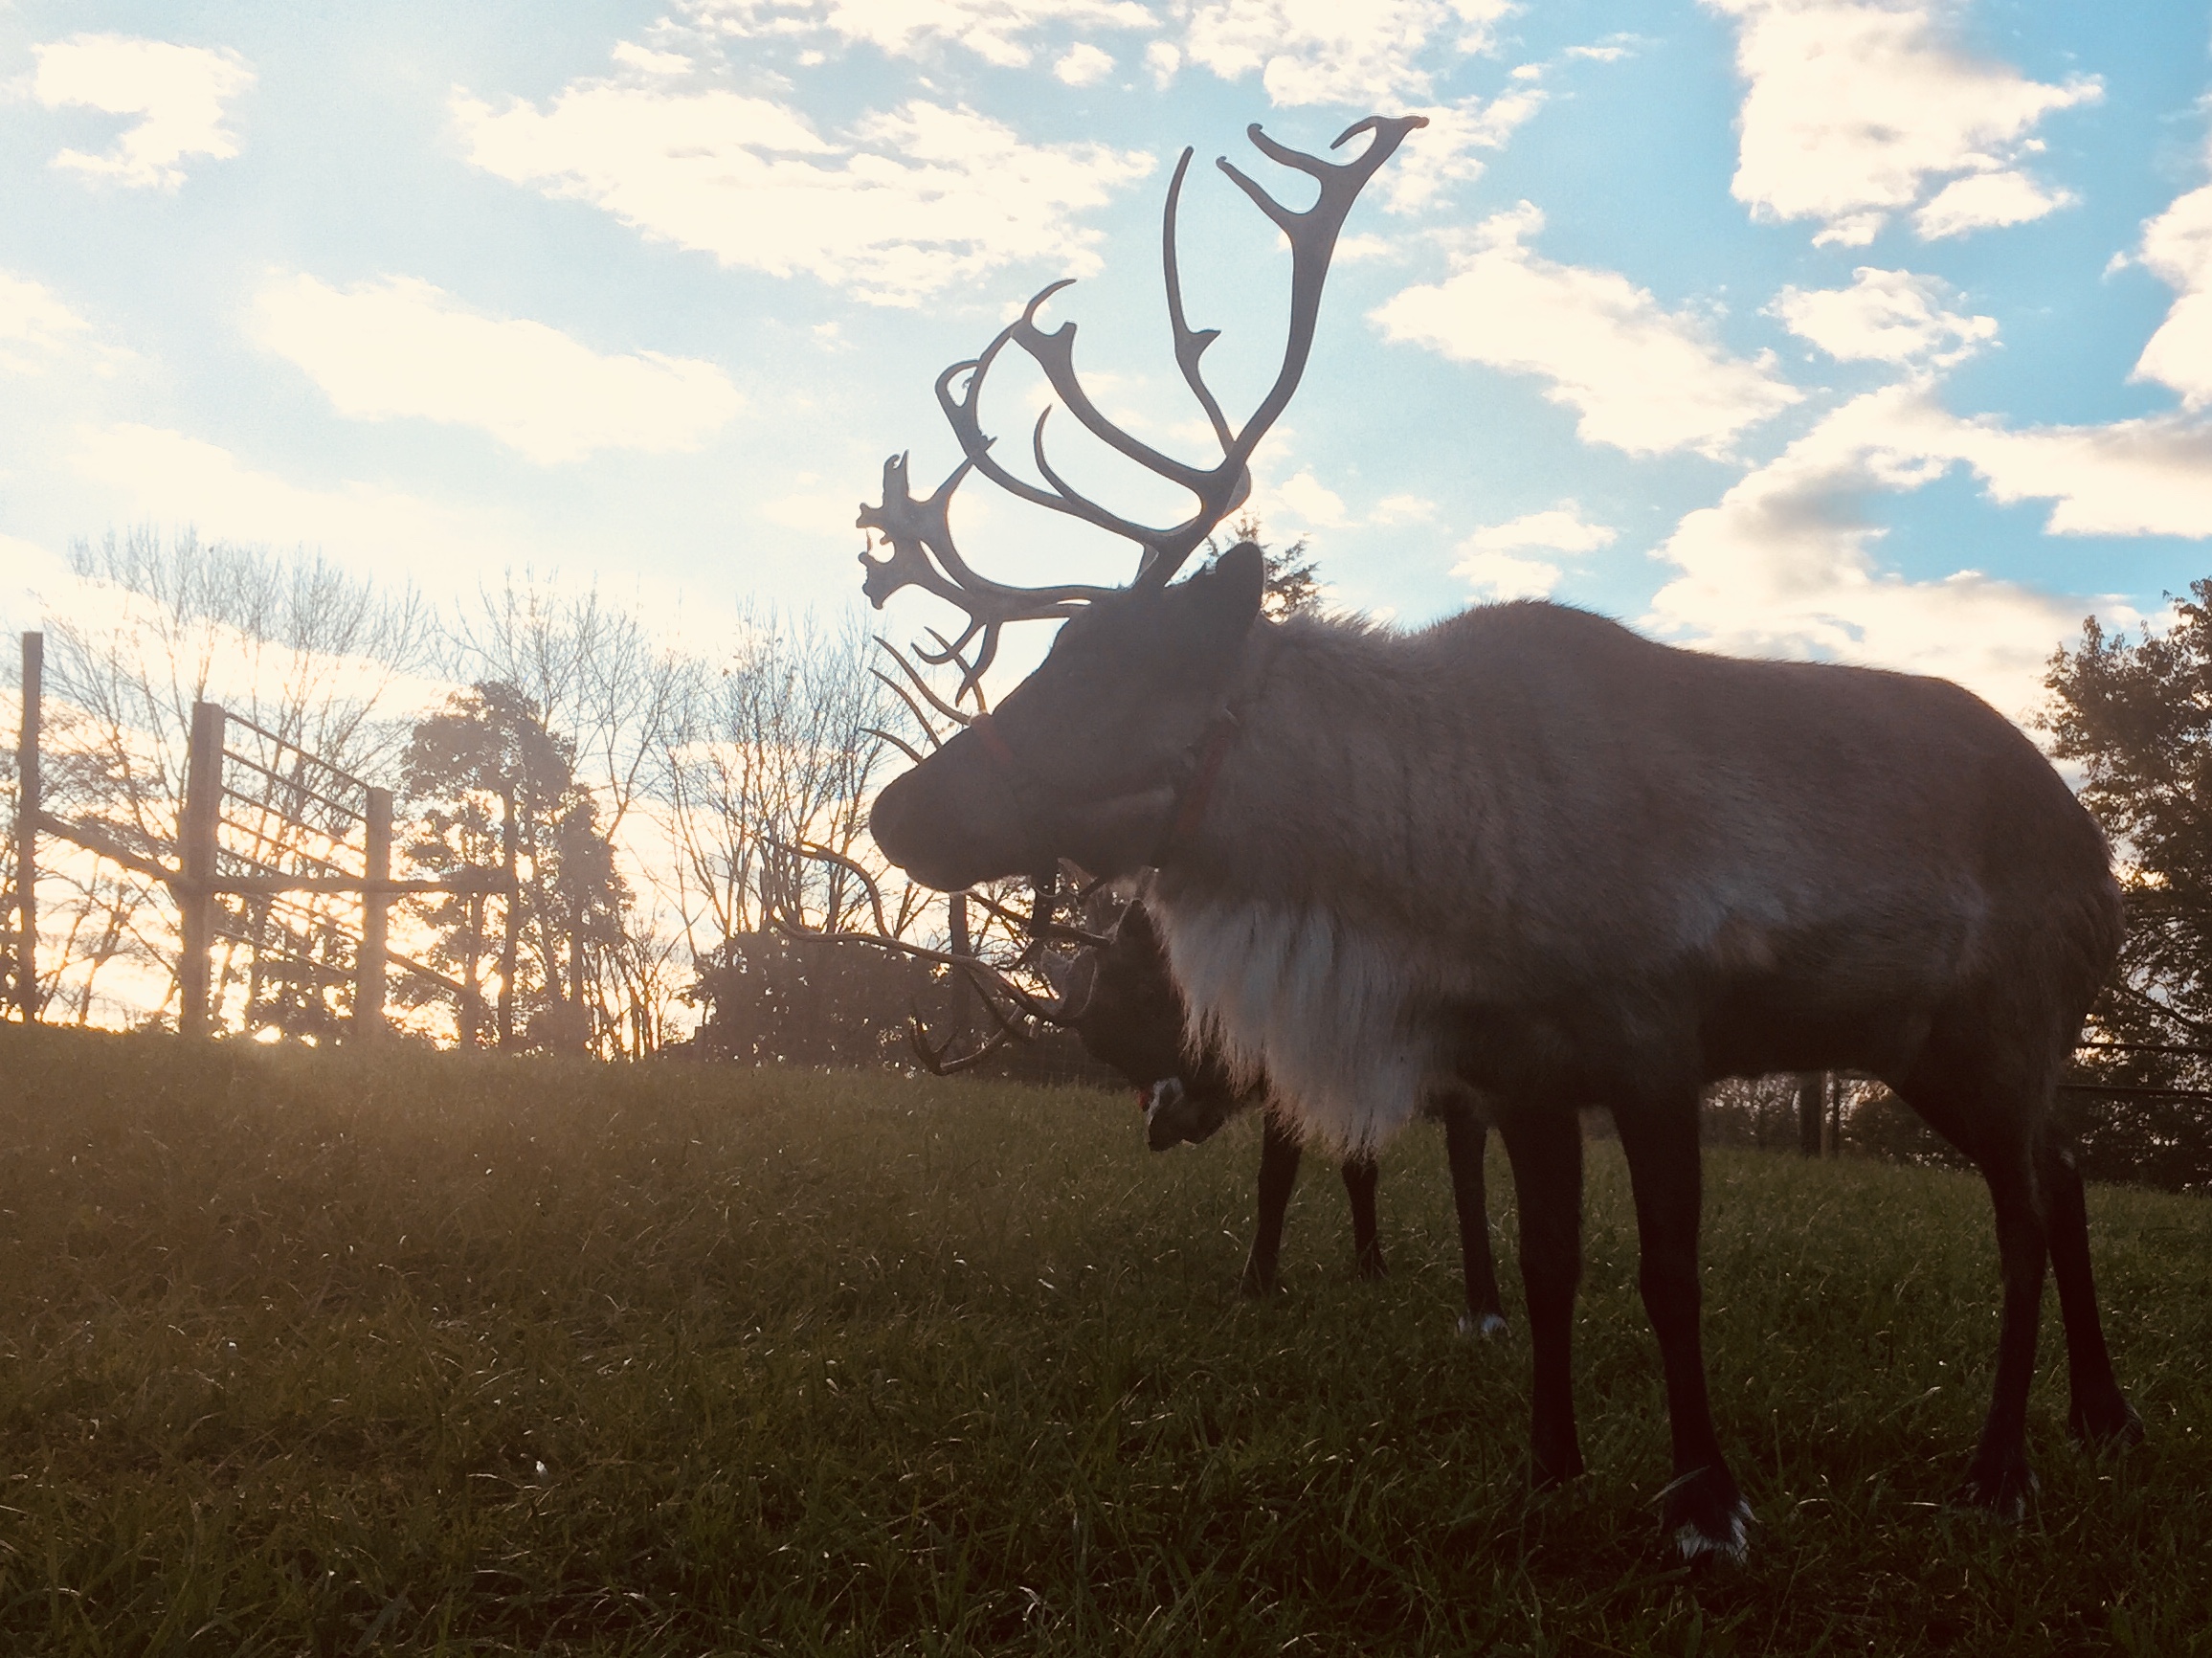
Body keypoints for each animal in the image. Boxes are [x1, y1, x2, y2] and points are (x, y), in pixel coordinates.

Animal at [852, 114, 2140, 1561]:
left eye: (1103, 663)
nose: (895, 810)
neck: (1432, 881)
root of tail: (2098, 851)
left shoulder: (1652, 1037)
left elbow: (1668, 1275)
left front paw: (1706, 1504)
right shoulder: (1526, 1073)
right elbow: (1545, 1268)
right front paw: (1549, 1468)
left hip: (1998, 1023)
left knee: (2022, 1217)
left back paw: (1999, 1469)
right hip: (1924, 1048)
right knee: (2065, 1172)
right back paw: (2098, 1415)